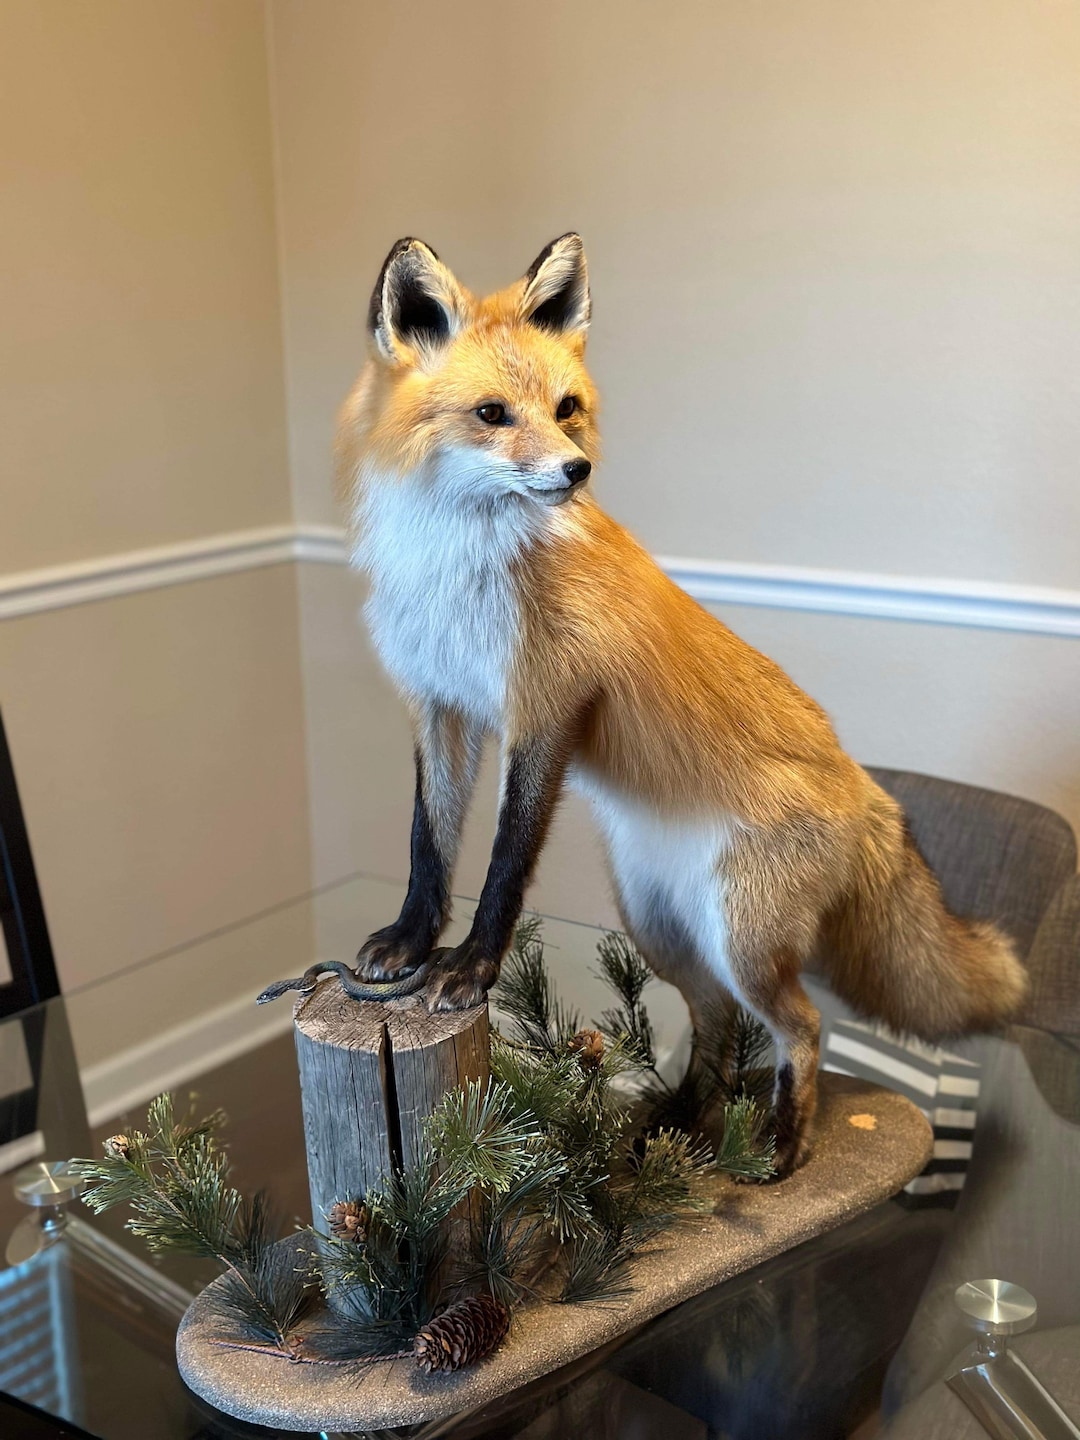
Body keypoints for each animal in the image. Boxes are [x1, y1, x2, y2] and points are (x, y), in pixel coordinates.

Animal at [332, 232, 1027, 1177]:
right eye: (491, 413)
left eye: (568, 408)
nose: (577, 470)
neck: (459, 564)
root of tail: (868, 790)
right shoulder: (439, 707)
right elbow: (427, 844)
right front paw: (410, 940)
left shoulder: (544, 710)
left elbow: (505, 862)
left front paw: (472, 966)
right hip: (661, 927)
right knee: (718, 1022)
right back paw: (676, 1129)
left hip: (742, 938)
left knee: (803, 1026)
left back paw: (780, 1146)